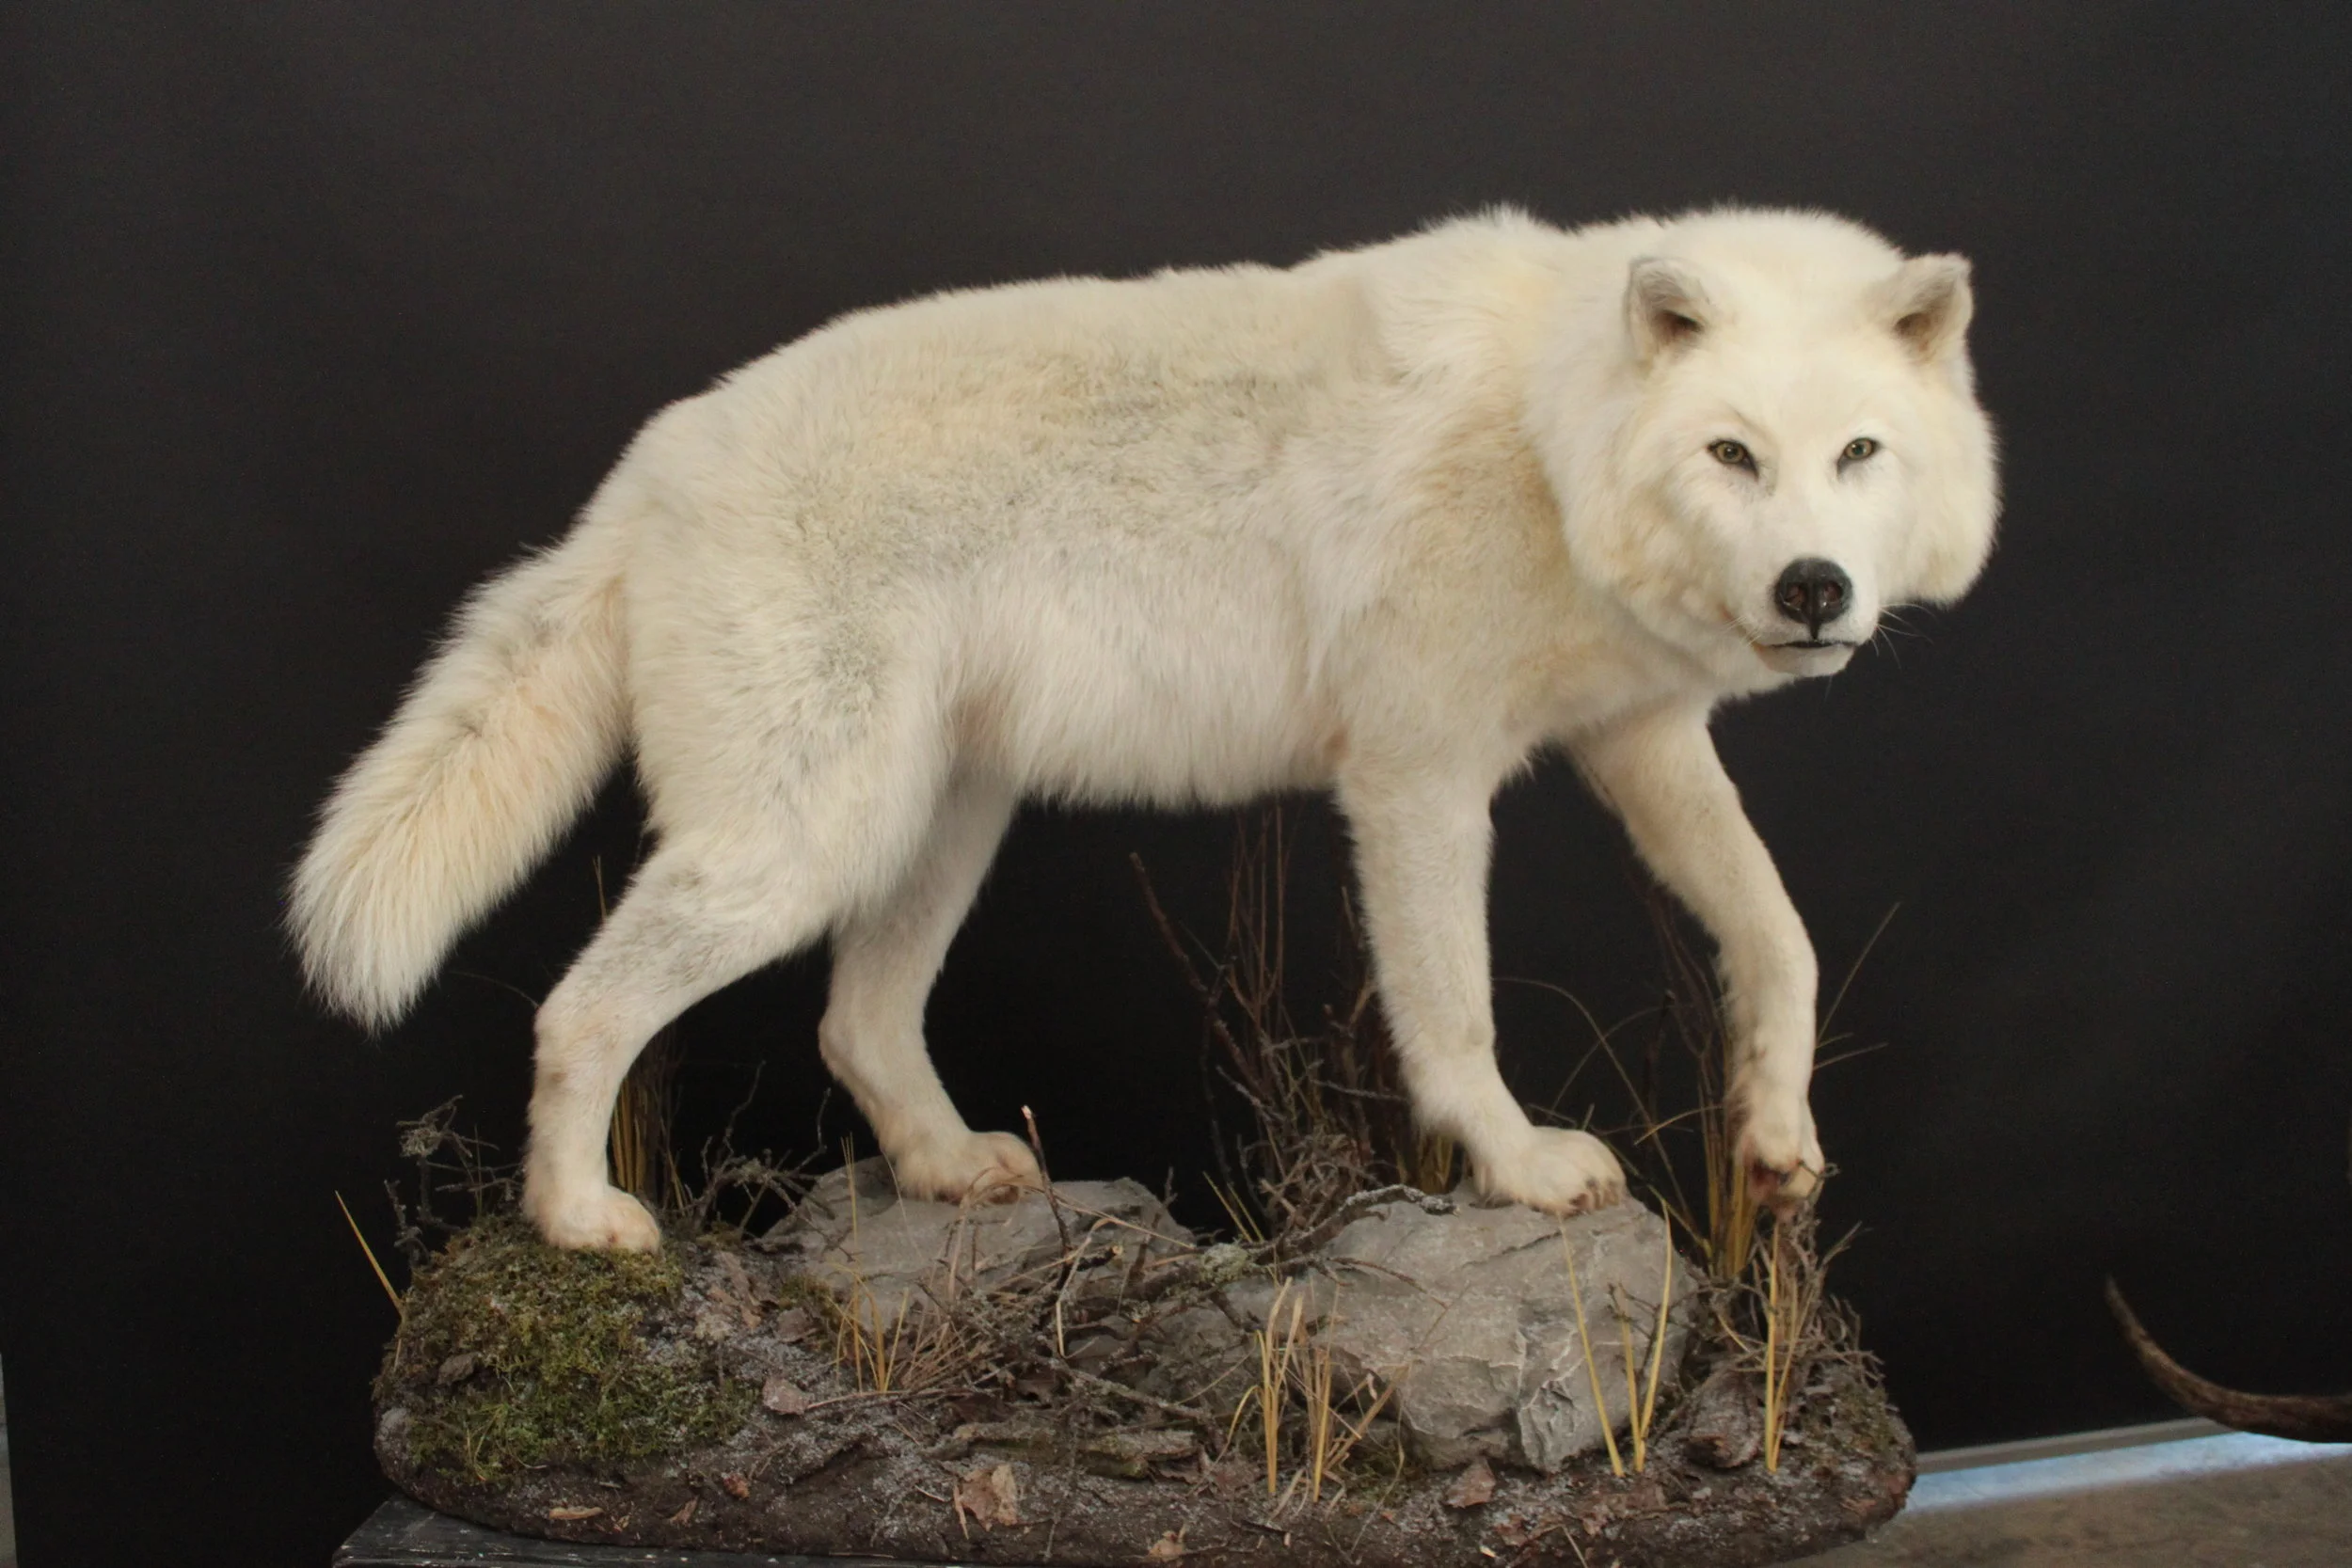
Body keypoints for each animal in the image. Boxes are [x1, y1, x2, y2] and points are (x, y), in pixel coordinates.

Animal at [291, 208, 1998, 1251]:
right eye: (1731, 453)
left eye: (1858, 453)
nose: (1815, 587)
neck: (1546, 433)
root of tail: (640, 476)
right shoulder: (1420, 782)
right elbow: (1455, 1018)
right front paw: (1517, 1167)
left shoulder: (1640, 741)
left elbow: (1780, 935)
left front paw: (1775, 1132)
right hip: (798, 847)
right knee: (580, 1013)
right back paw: (579, 1222)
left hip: (936, 829)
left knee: (854, 1025)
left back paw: (948, 1166)